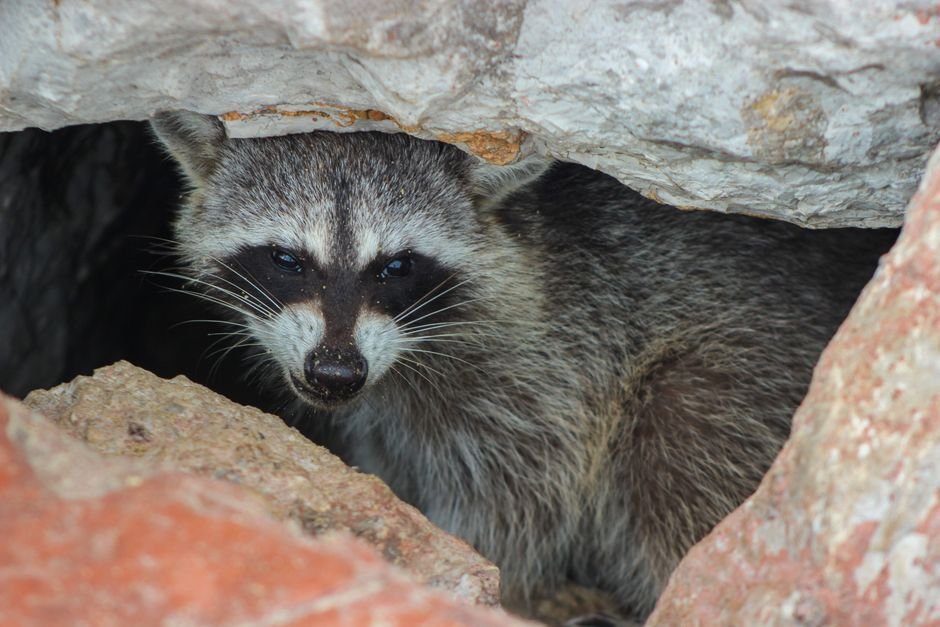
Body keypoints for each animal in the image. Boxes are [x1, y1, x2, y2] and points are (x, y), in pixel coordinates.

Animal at [151, 111, 890, 623]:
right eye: (287, 260)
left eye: (396, 267)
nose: (337, 372)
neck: (403, 364)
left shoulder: (549, 369)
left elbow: (516, 504)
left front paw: (500, 580)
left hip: (742, 372)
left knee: (678, 460)